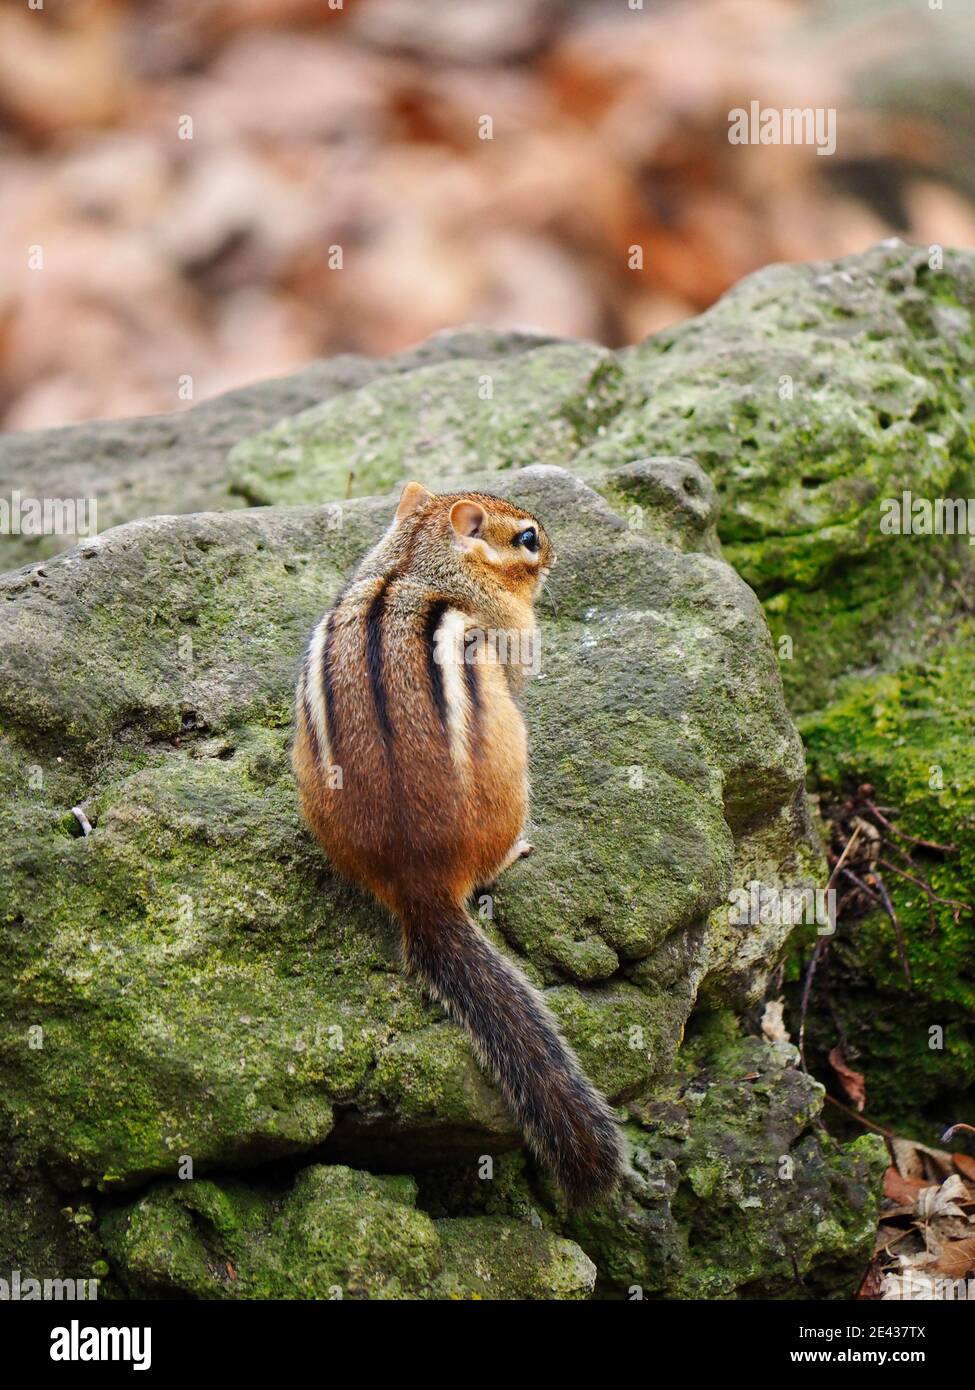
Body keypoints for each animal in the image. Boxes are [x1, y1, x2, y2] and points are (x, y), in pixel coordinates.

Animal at [292, 480, 622, 1206]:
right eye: (527, 538)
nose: (557, 553)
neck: (414, 558)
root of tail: (419, 886)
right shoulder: (509, 634)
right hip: (509, 765)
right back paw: (515, 851)